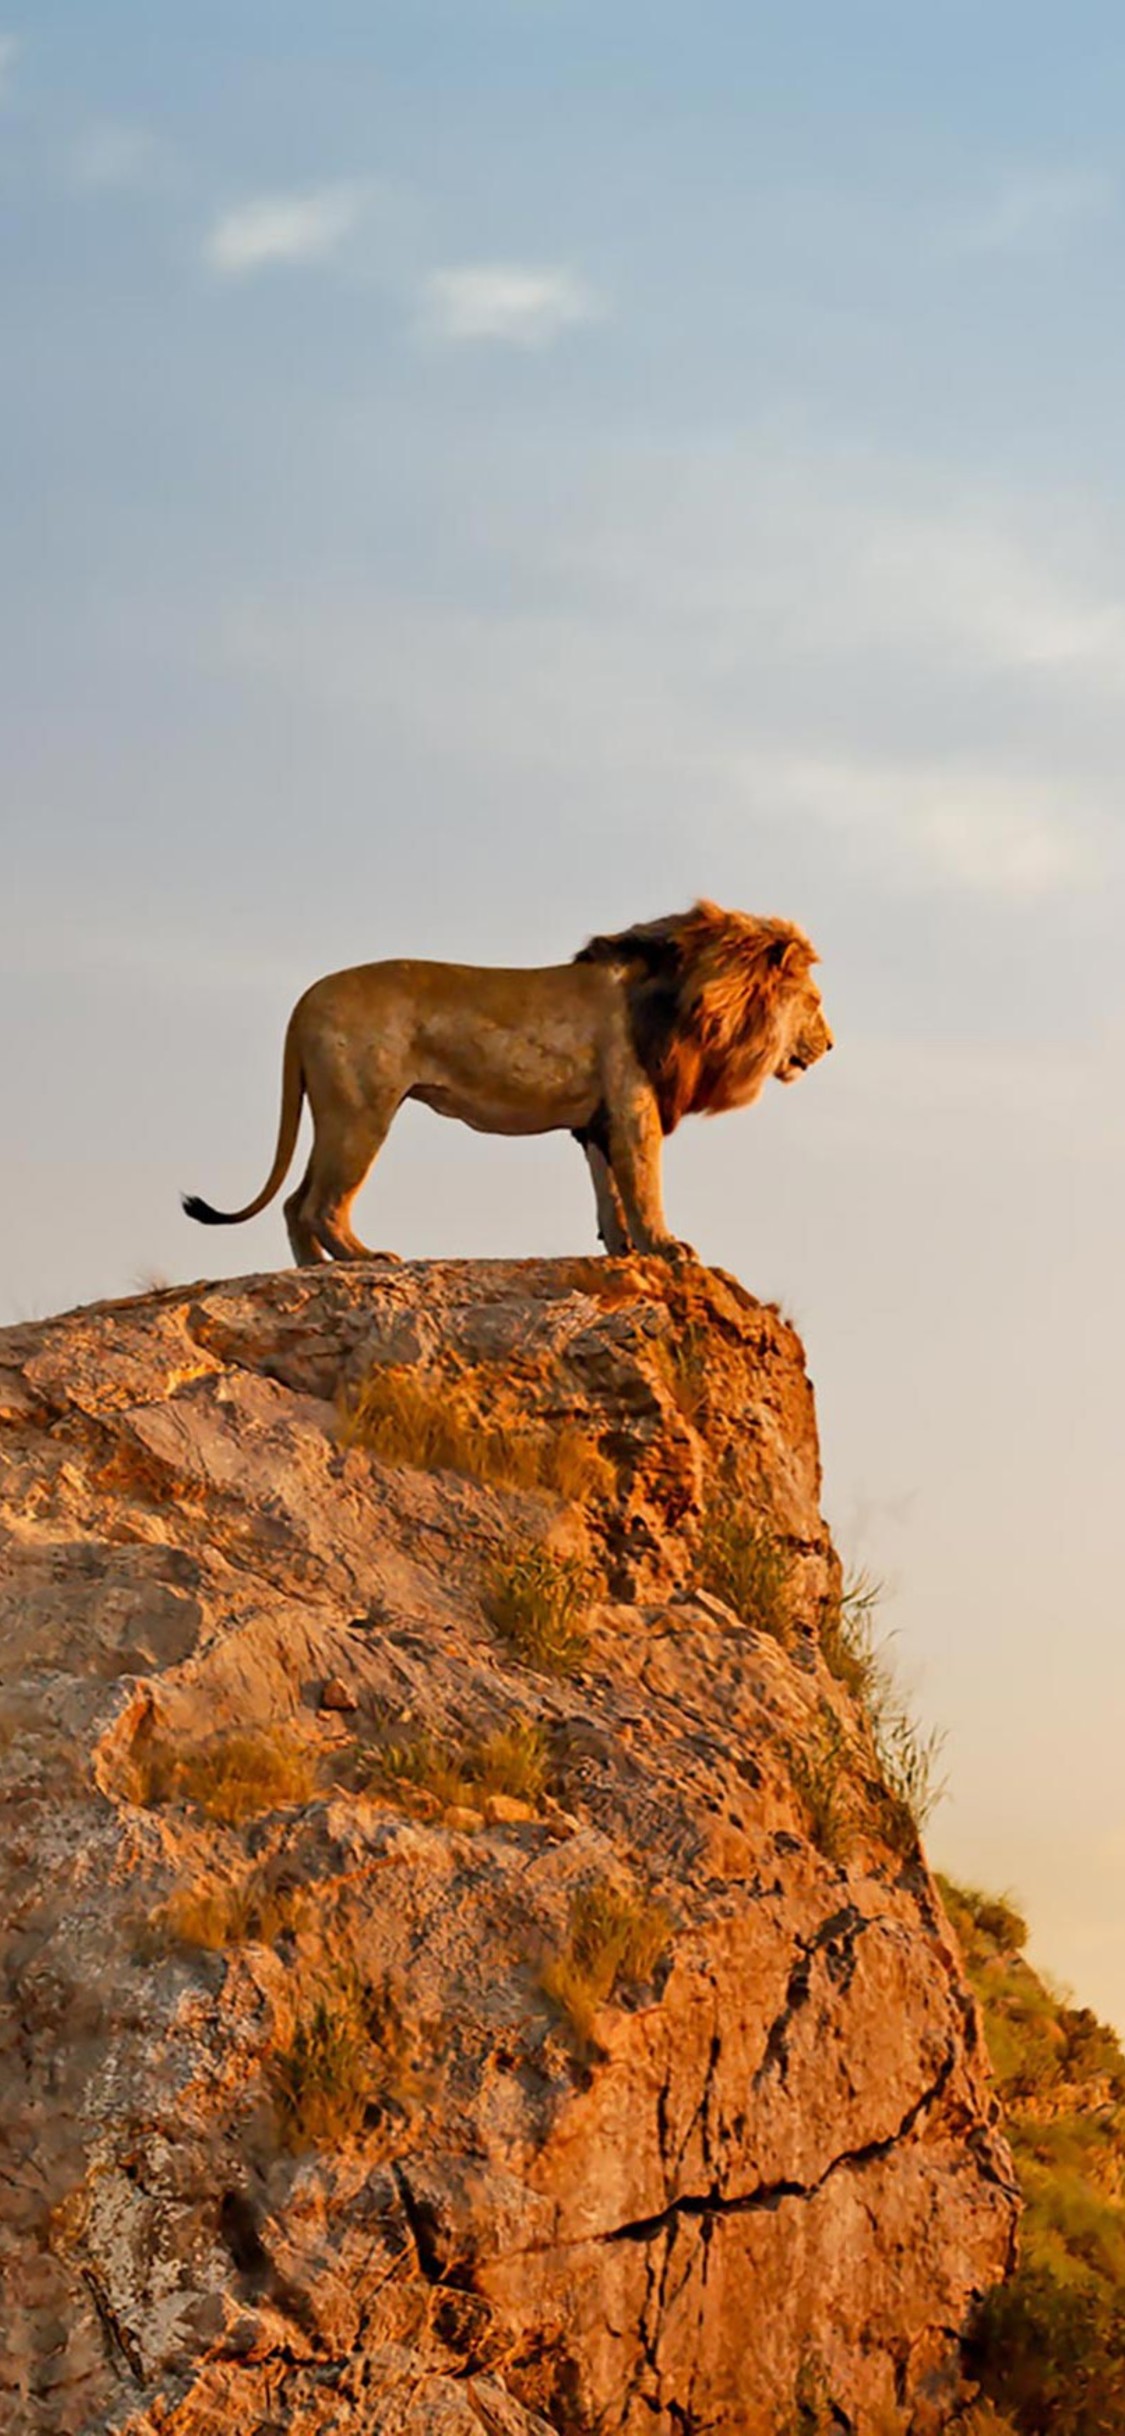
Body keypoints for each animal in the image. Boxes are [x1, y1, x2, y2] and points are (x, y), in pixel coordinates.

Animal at [183, 901, 832, 1265]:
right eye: (815, 1002)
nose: (829, 1045)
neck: (689, 998)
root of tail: (303, 1002)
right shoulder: (634, 1106)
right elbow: (644, 1186)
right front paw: (666, 1248)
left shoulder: (598, 1120)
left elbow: (609, 1193)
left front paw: (622, 1251)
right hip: (364, 1113)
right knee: (320, 1205)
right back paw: (366, 1260)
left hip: (333, 1111)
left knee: (295, 1204)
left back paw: (320, 1271)